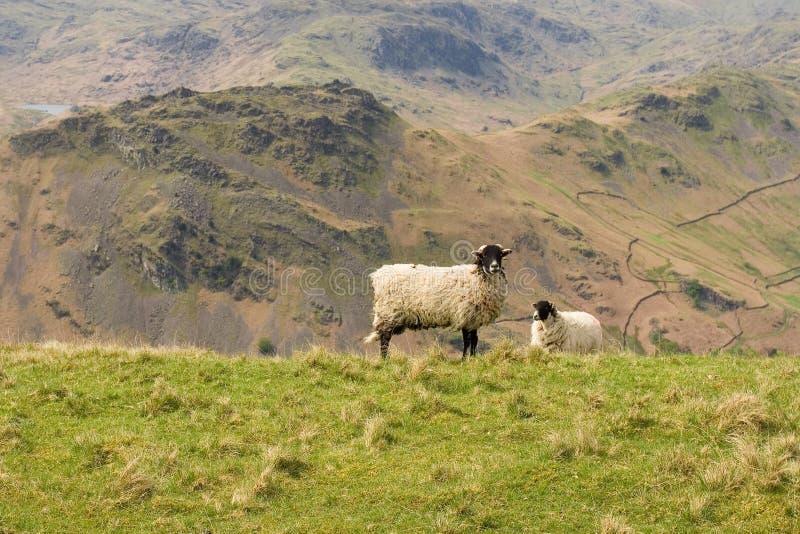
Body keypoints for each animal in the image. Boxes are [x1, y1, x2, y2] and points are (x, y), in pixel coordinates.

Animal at [364, 244, 512, 359]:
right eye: (484, 255)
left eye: (500, 255)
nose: (494, 267)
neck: (476, 276)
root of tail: (377, 275)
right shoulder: (465, 315)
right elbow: (467, 340)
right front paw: (464, 359)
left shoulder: (474, 319)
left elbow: (474, 340)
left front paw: (473, 358)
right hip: (388, 312)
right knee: (385, 338)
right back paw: (384, 360)